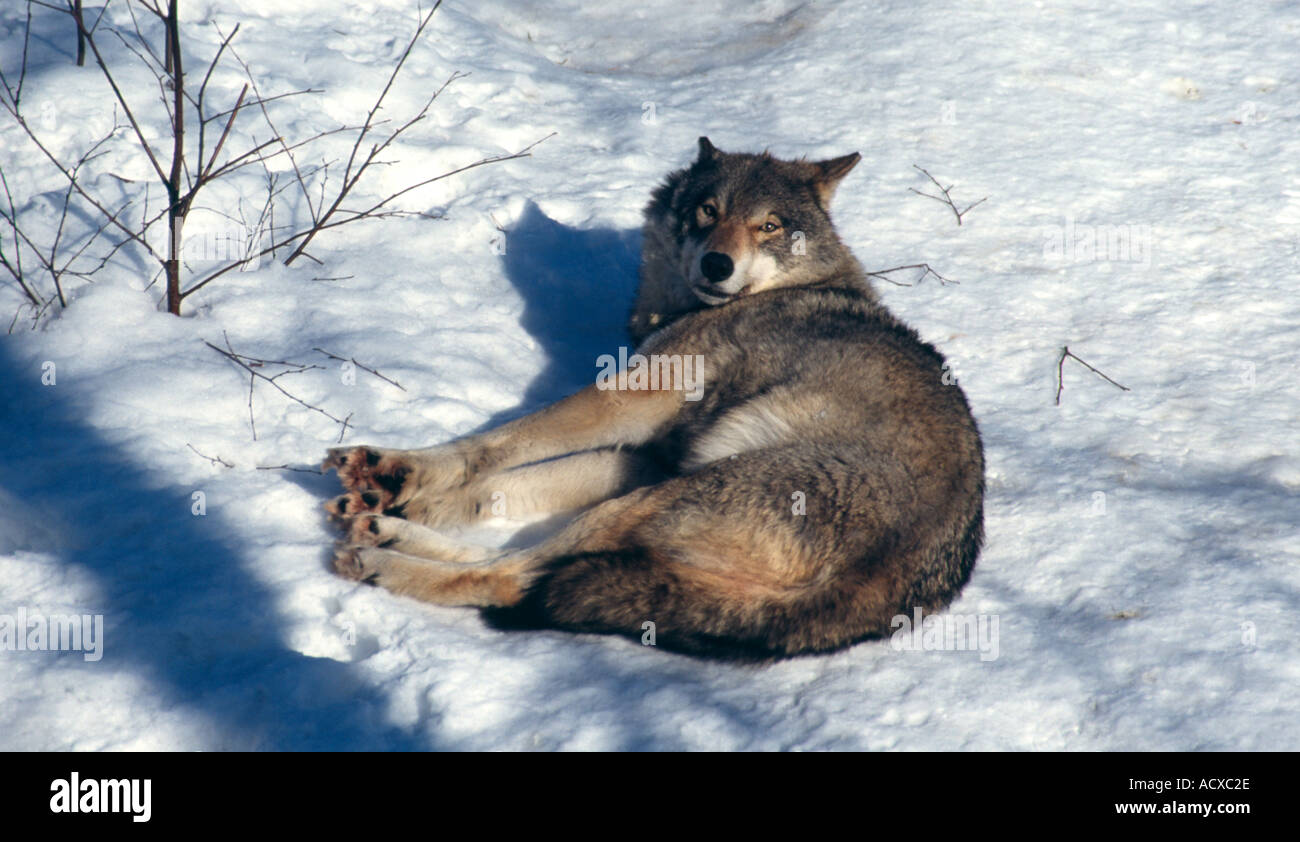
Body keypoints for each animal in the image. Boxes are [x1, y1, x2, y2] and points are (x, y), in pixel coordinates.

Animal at [322, 137, 985, 659]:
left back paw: (376, 561)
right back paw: (379, 527)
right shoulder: (647, 456)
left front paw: (398, 471)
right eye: (708, 210)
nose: (717, 264)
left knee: (513, 576)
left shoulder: (633, 398)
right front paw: (395, 497)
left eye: (768, 226)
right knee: (523, 562)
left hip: (653, 503)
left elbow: (497, 444)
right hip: (657, 495)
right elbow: (505, 486)